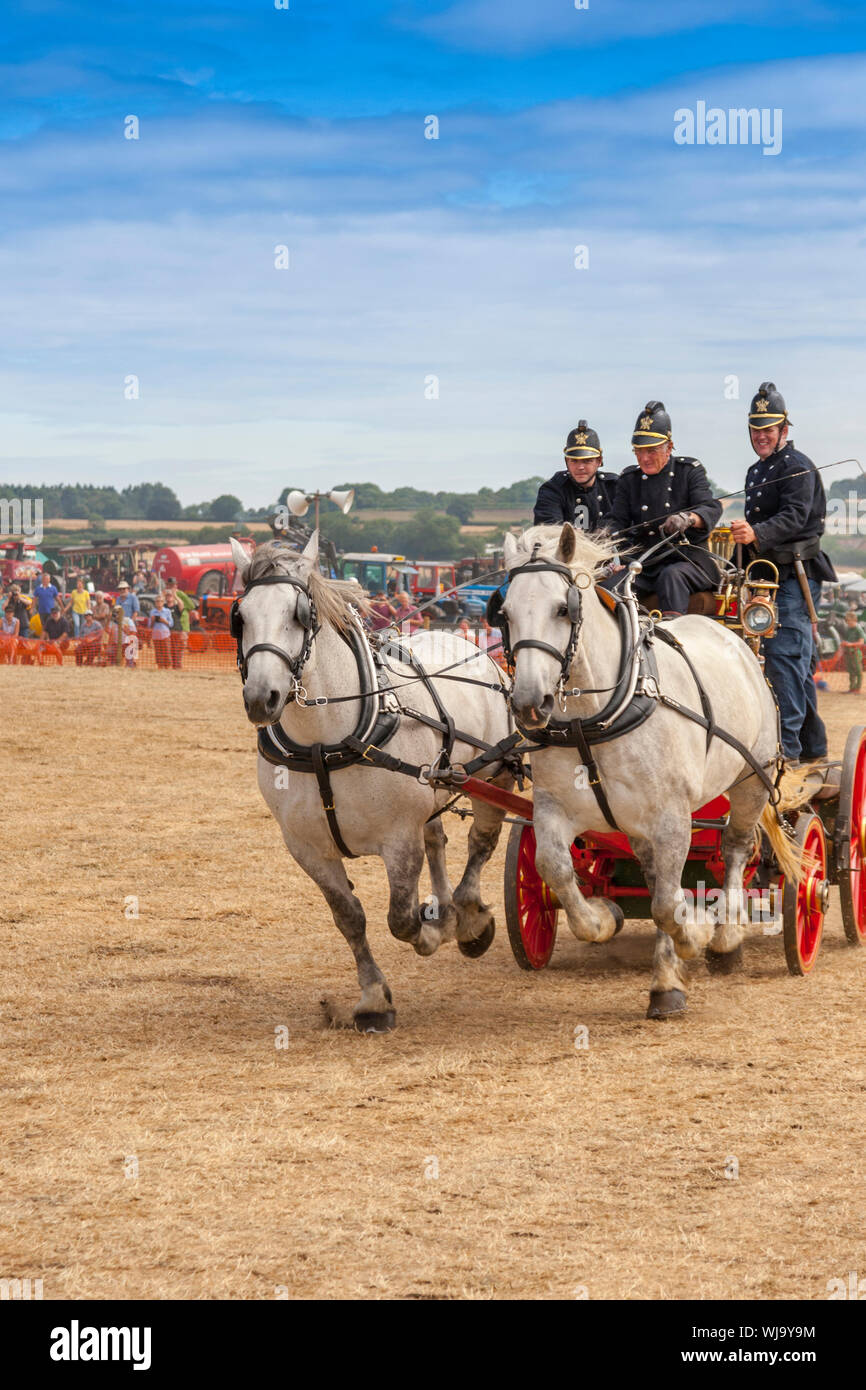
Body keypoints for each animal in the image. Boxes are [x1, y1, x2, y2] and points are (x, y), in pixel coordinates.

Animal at [230, 534, 515, 1033]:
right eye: (239, 617)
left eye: (298, 615)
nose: (262, 698)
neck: (325, 742)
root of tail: (466, 640)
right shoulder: (308, 849)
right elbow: (350, 919)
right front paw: (373, 999)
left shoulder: (398, 838)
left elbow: (400, 918)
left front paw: (432, 932)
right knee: (437, 839)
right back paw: (447, 908)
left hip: (493, 774)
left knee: (481, 843)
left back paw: (469, 920)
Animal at [500, 522, 796, 1019]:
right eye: (503, 612)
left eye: (563, 608)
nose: (528, 704)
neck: (592, 721)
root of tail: (732, 636)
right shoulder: (554, 808)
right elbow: (554, 869)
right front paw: (603, 918)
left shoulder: (672, 818)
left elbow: (665, 905)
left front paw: (688, 948)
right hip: (634, 820)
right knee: (655, 873)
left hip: (750, 782)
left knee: (736, 850)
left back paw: (727, 937)